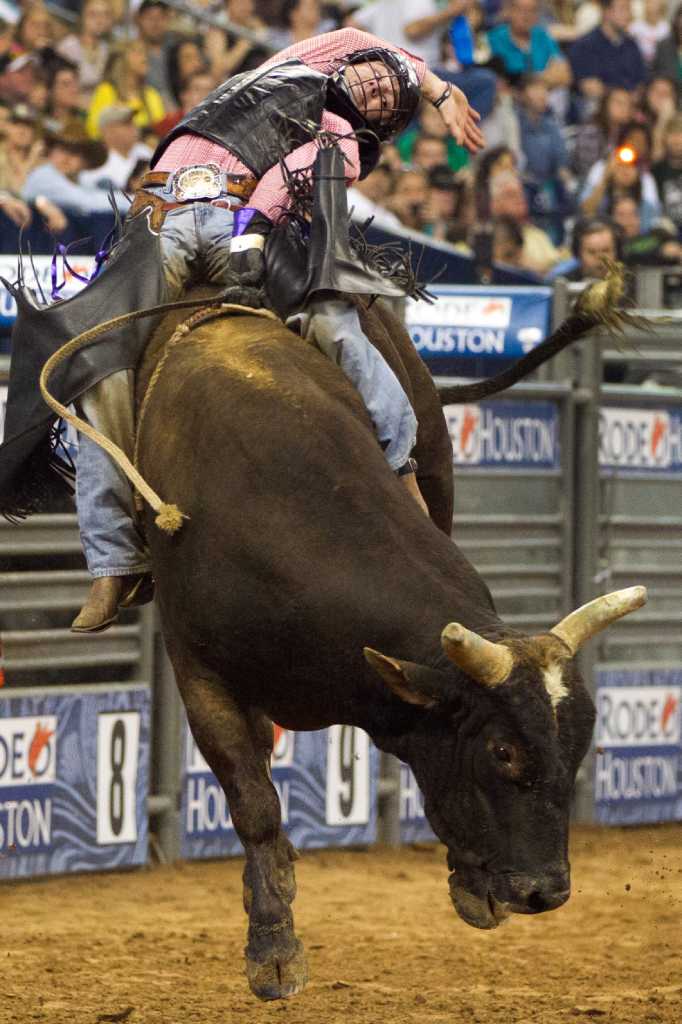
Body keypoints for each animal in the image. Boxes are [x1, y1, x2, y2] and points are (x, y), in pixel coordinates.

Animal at [132, 287, 644, 1001]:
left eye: (579, 745)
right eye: (503, 750)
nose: (546, 893)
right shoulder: (199, 671)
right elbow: (255, 802)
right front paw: (274, 950)